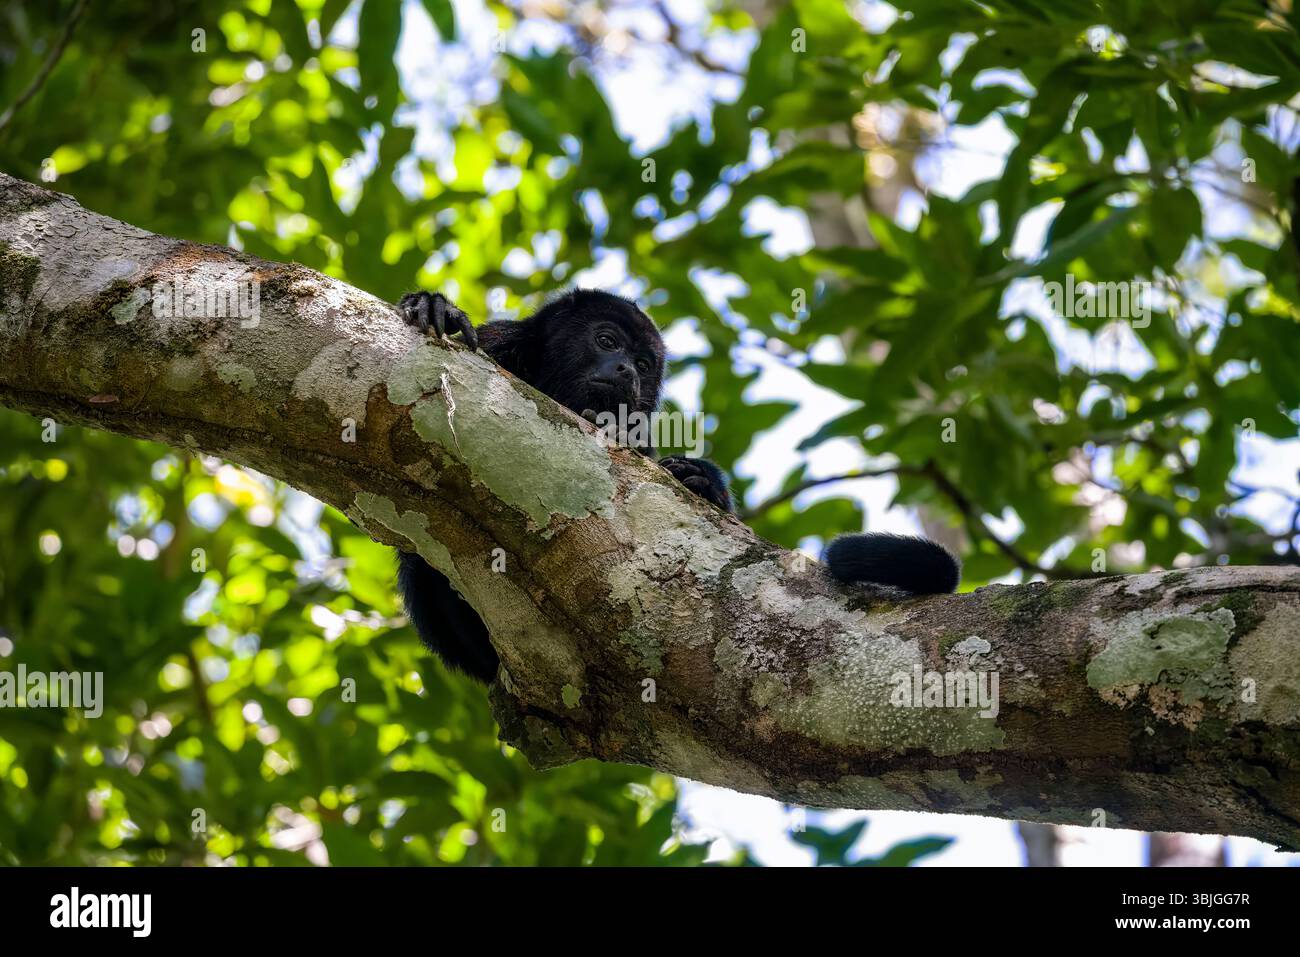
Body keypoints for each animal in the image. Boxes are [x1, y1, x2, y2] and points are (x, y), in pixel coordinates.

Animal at [394, 288, 959, 684]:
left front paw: (701, 480)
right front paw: (436, 305)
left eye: (645, 366)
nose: (627, 371)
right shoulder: (498, 343)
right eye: (606, 340)